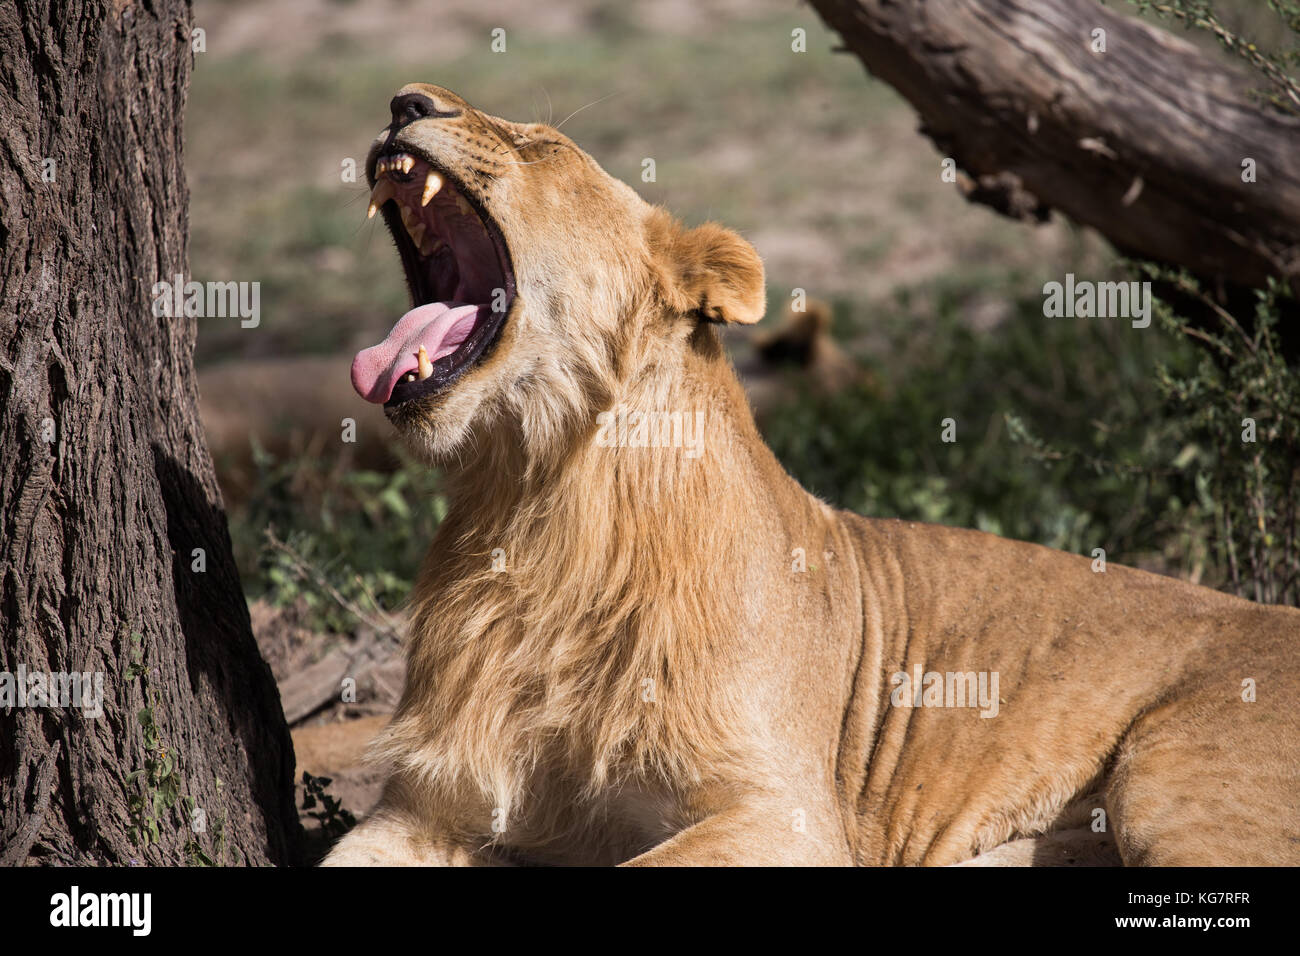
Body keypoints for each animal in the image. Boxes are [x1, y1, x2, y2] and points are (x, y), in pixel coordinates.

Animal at [323, 83, 1300, 866]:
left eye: (543, 145)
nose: (404, 103)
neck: (538, 506)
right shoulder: (422, 806)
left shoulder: (786, 815)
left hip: (1171, 788)